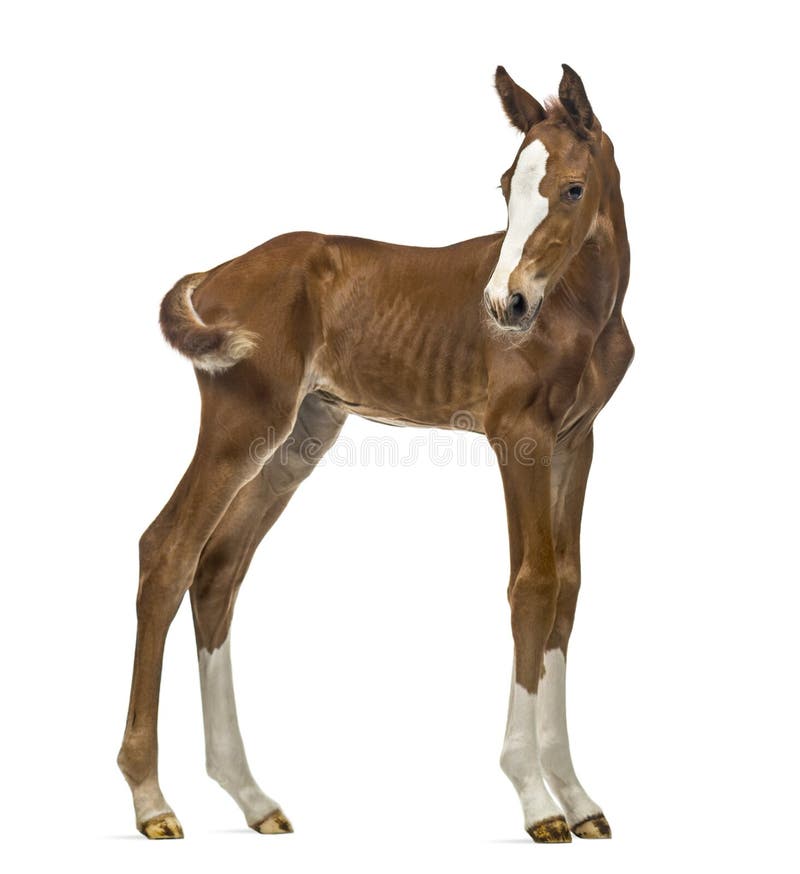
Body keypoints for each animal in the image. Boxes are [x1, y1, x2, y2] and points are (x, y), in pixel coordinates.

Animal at [118, 64, 634, 844]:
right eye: (504, 185)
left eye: (573, 188)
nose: (504, 305)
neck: (580, 309)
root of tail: (213, 274)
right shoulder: (519, 438)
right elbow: (532, 586)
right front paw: (537, 800)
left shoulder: (578, 439)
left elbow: (567, 587)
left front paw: (578, 798)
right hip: (245, 421)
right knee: (168, 550)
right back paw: (151, 800)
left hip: (302, 433)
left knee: (219, 568)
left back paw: (252, 797)